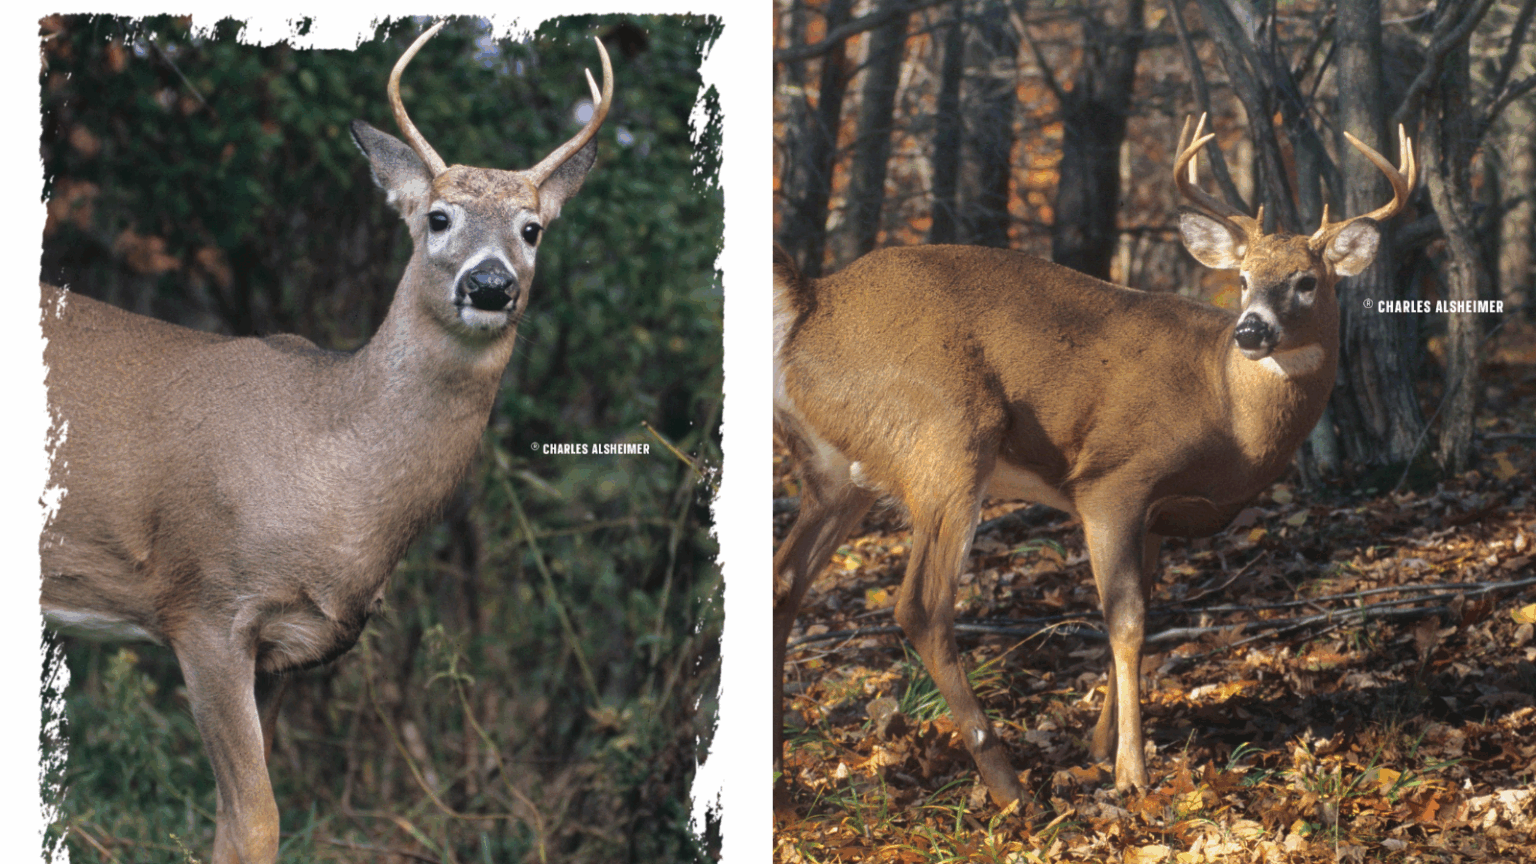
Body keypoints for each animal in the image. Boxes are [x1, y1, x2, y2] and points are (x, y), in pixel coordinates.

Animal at [40, 21, 611, 864]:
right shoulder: (204, 607)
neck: (335, 468)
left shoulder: (287, 648)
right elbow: (257, 821)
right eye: (438, 217)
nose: (490, 286)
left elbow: (231, 824)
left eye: (531, 229)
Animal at [773, 116, 1414, 805]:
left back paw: (781, 776)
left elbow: (1141, 613)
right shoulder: (1113, 480)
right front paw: (1131, 773)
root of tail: (812, 304)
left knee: (784, 582)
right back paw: (1010, 787)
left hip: (836, 473)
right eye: (1243, 278)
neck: (1225, 407)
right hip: (948, 439)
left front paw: (1100, 745)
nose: (1251, 330)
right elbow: (1126, 620)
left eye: (1306, 281)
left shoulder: (1157, 514)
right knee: (921, 605)